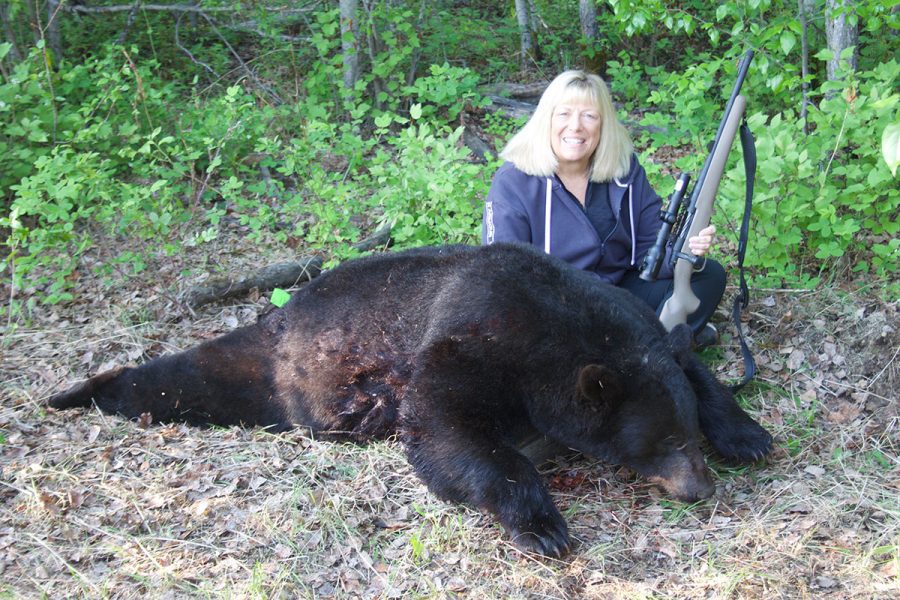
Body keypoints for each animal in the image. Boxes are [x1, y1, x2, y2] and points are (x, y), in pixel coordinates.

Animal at [49, 243, 772, 557]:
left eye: (686, 435)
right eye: (664, 442)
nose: (700, 487)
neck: (557, 330)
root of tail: (281, 317)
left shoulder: (636, 328)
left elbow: (693, 365)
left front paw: (746, 434)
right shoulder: (475, 341)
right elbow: (444, 428)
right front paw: (544, 527)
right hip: (293, 376)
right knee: (195, 376)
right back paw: (75, 392)